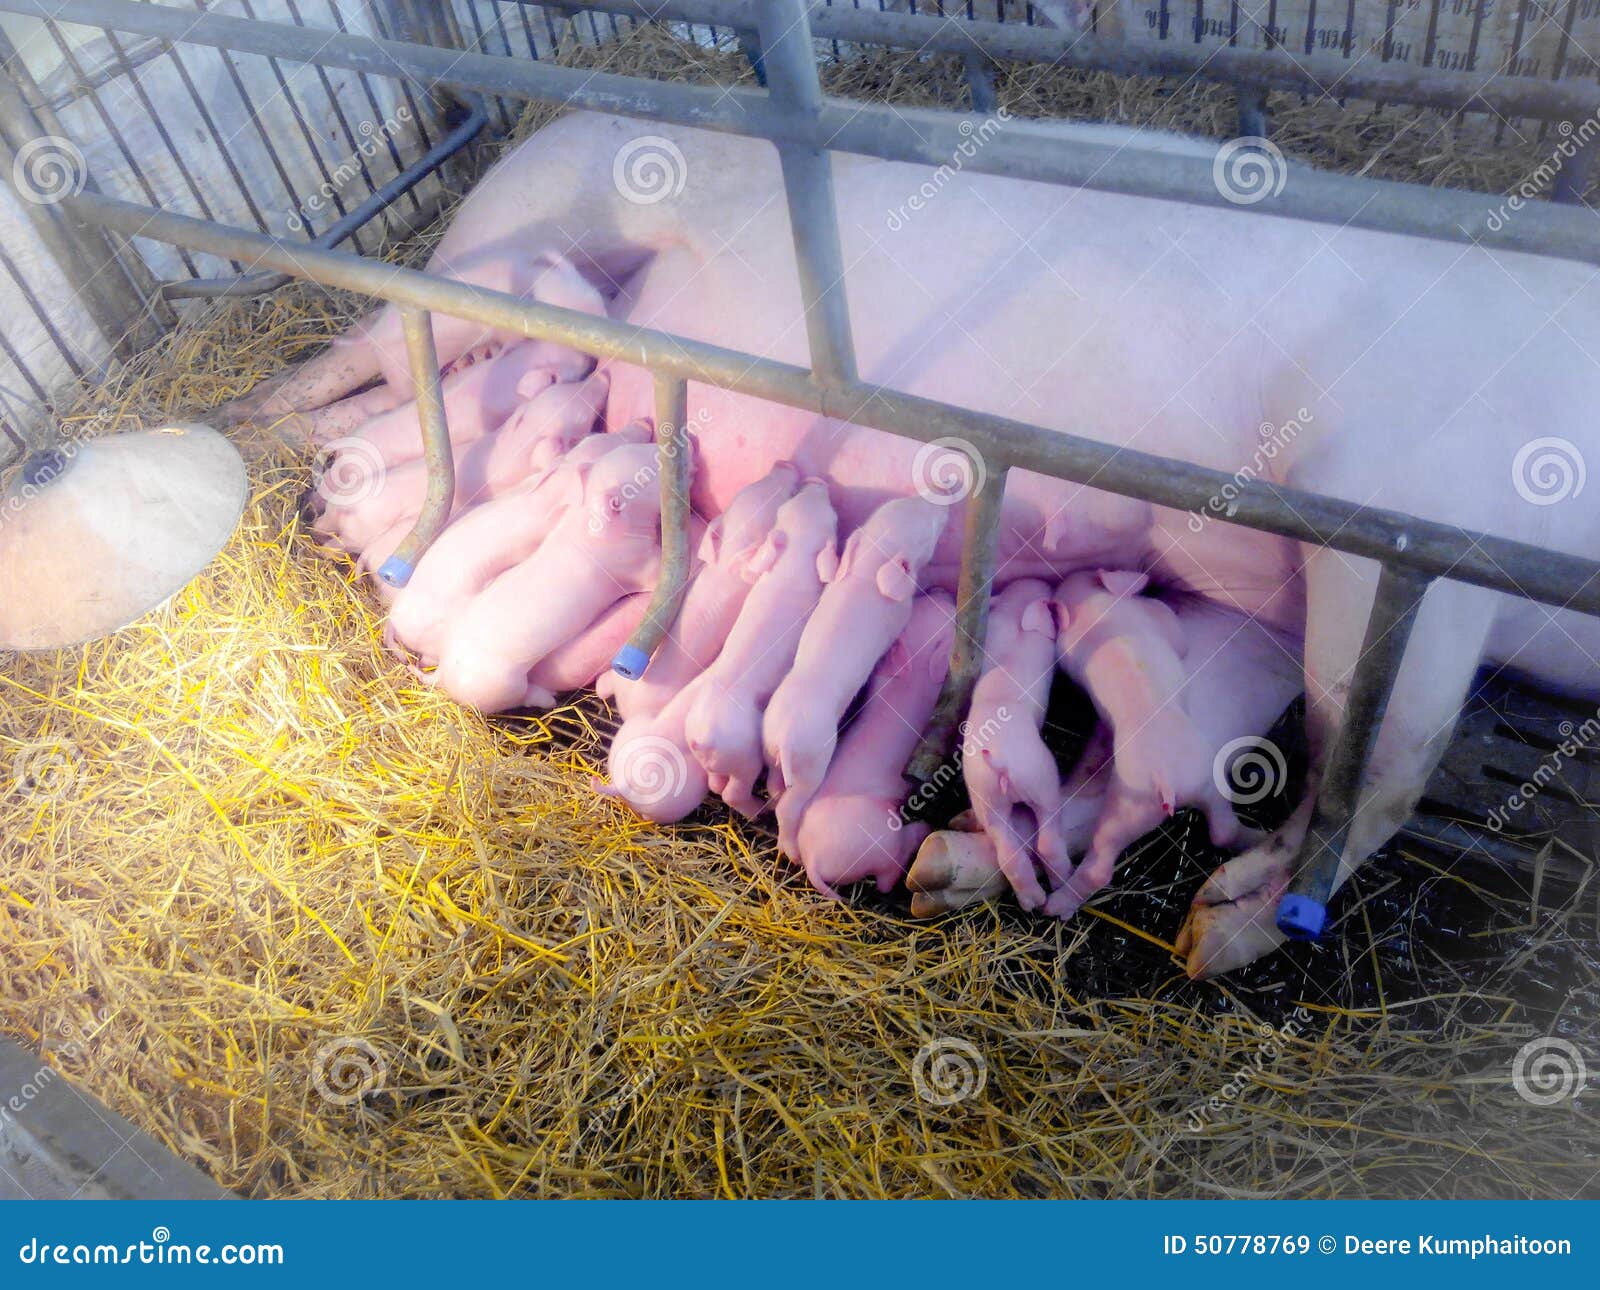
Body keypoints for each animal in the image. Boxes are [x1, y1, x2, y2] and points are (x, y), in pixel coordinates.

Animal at [431, 443, 663, 713]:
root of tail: (443, 669)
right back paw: (548, 697)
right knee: (521, 697)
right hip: (500, 687)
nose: (687, 443)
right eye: (647, 474)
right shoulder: (634, 562)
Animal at [680, 479, 839, 818]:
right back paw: (759, 811)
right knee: (732, 792)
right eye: (833, 519)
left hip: (714, 760)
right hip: (745, 756)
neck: (792, 564)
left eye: (787, 505)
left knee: (714, 782)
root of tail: (700, 738)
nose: (816, 481)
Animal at [763, 496, 949, 857]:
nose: (943, 507)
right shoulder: (901, 614)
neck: (867, 571)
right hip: (813, 762)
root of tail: (785, 739)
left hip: (768, 745)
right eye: (930, 530)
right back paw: (791, 851)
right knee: (788, 807)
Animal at [793, 592, 956, 896]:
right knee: (887, 880)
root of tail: (813, 860)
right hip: (883, 843)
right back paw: (923, 830)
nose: (941, 591)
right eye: (952, 620)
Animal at [960, 578, 1064, 912]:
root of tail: (1001, 760)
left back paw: (1032, 901)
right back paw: (1057, 890)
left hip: (986, 797)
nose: (1042, 581)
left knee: (1009, 854)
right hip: (1043, 779)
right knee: (1048, 840)